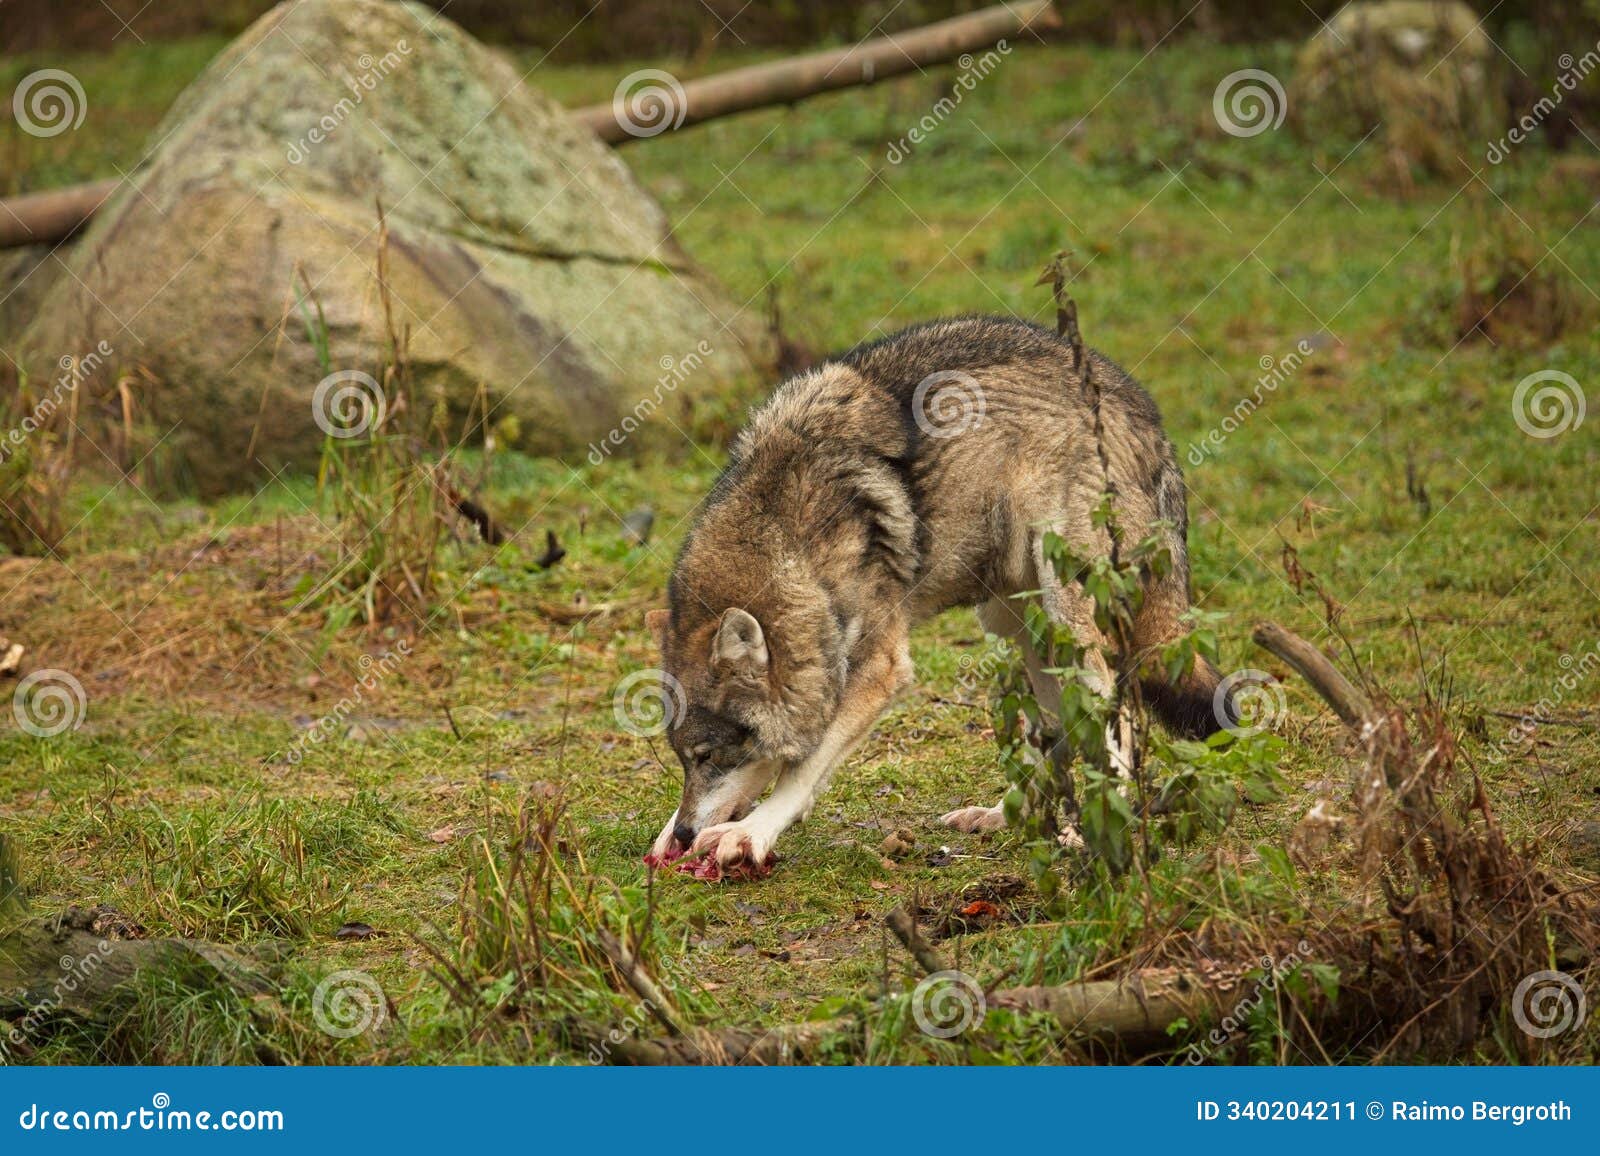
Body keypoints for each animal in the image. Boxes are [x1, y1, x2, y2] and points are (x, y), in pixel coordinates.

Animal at [642, 315, 1233, 872]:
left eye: (707, 755)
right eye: (684, 760)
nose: (687, 835)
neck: (788, 537)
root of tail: (1149, 416)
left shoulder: (882, 669)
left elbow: (802, 770)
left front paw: (750, 835)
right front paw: (674, 831)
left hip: (1065, 609)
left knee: (1119, 715)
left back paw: (1100, 829)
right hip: (1015, 621)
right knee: (1061, 725)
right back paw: (1008, 817)